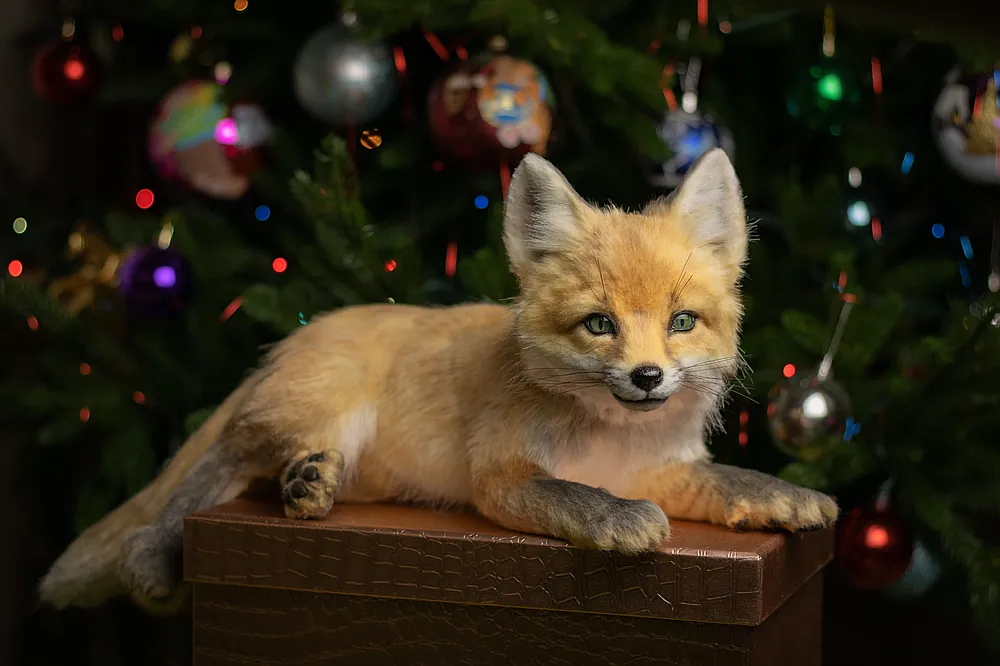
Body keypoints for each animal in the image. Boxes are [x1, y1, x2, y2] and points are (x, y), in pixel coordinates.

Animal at [38, 148, 838, 612]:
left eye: (681, 322)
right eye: (599, 325)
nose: (647, 377)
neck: (612, 440)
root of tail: (303, 331)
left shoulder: (661, 468)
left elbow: (730, 479)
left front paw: (785, 495)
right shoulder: (504, 475)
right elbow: (573, 495)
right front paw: (616, 520)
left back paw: (307, 487)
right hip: (326, 412)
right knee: (206, 479)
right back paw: (163, 552)